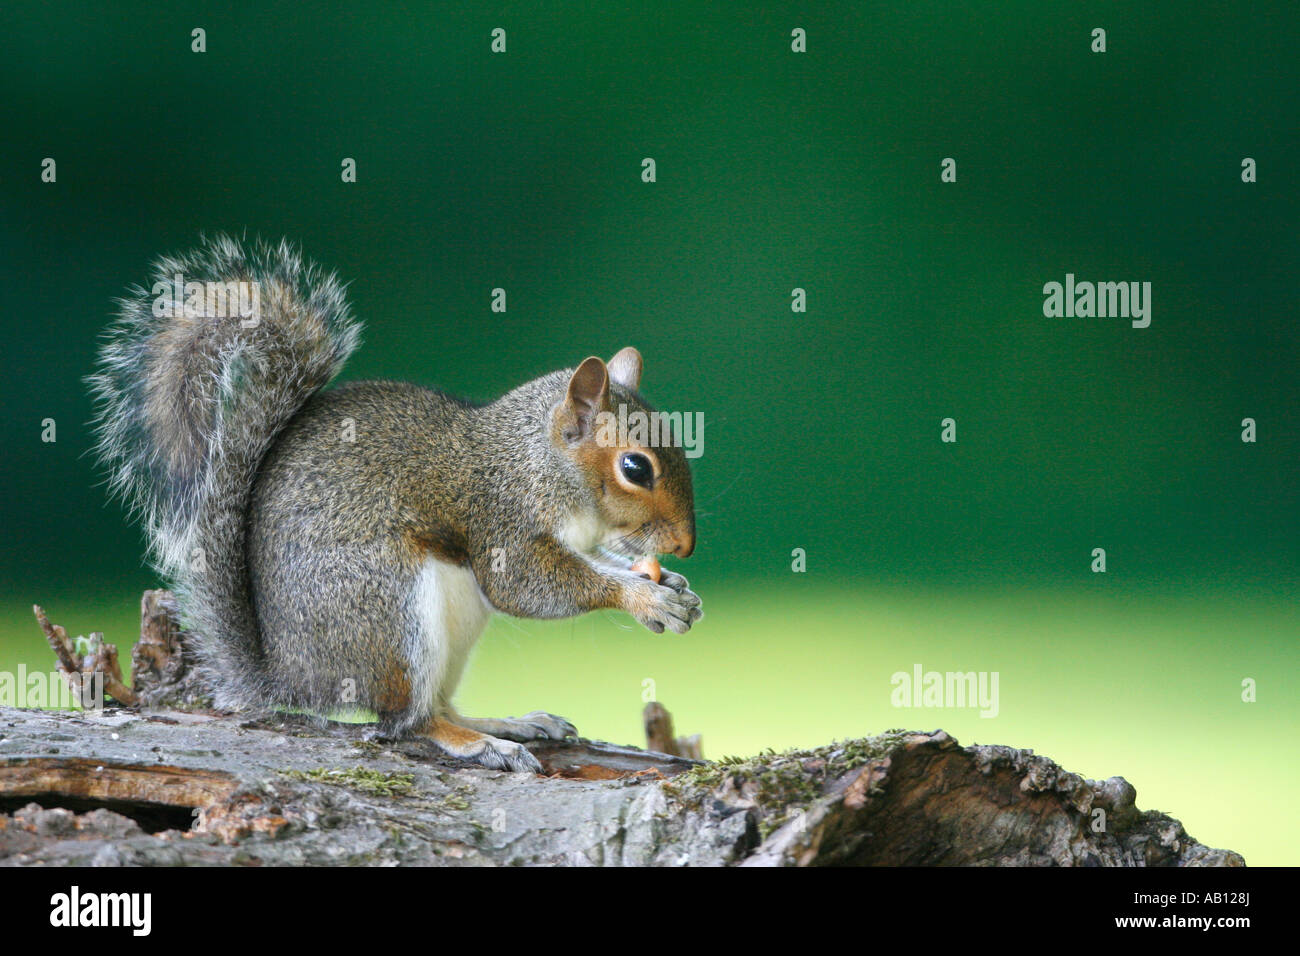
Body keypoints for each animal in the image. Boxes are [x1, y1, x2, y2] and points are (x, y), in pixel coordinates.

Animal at [89, 235, 702, 772]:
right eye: (635, 467)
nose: (685, 546)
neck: (536, 460)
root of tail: (290, 676)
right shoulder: (502, 518)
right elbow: (526, 586)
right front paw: (644, 598)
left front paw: (670, 585)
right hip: (389, 609)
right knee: (408, 722)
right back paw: (480, 744)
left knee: (436, 705)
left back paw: (506, 723)